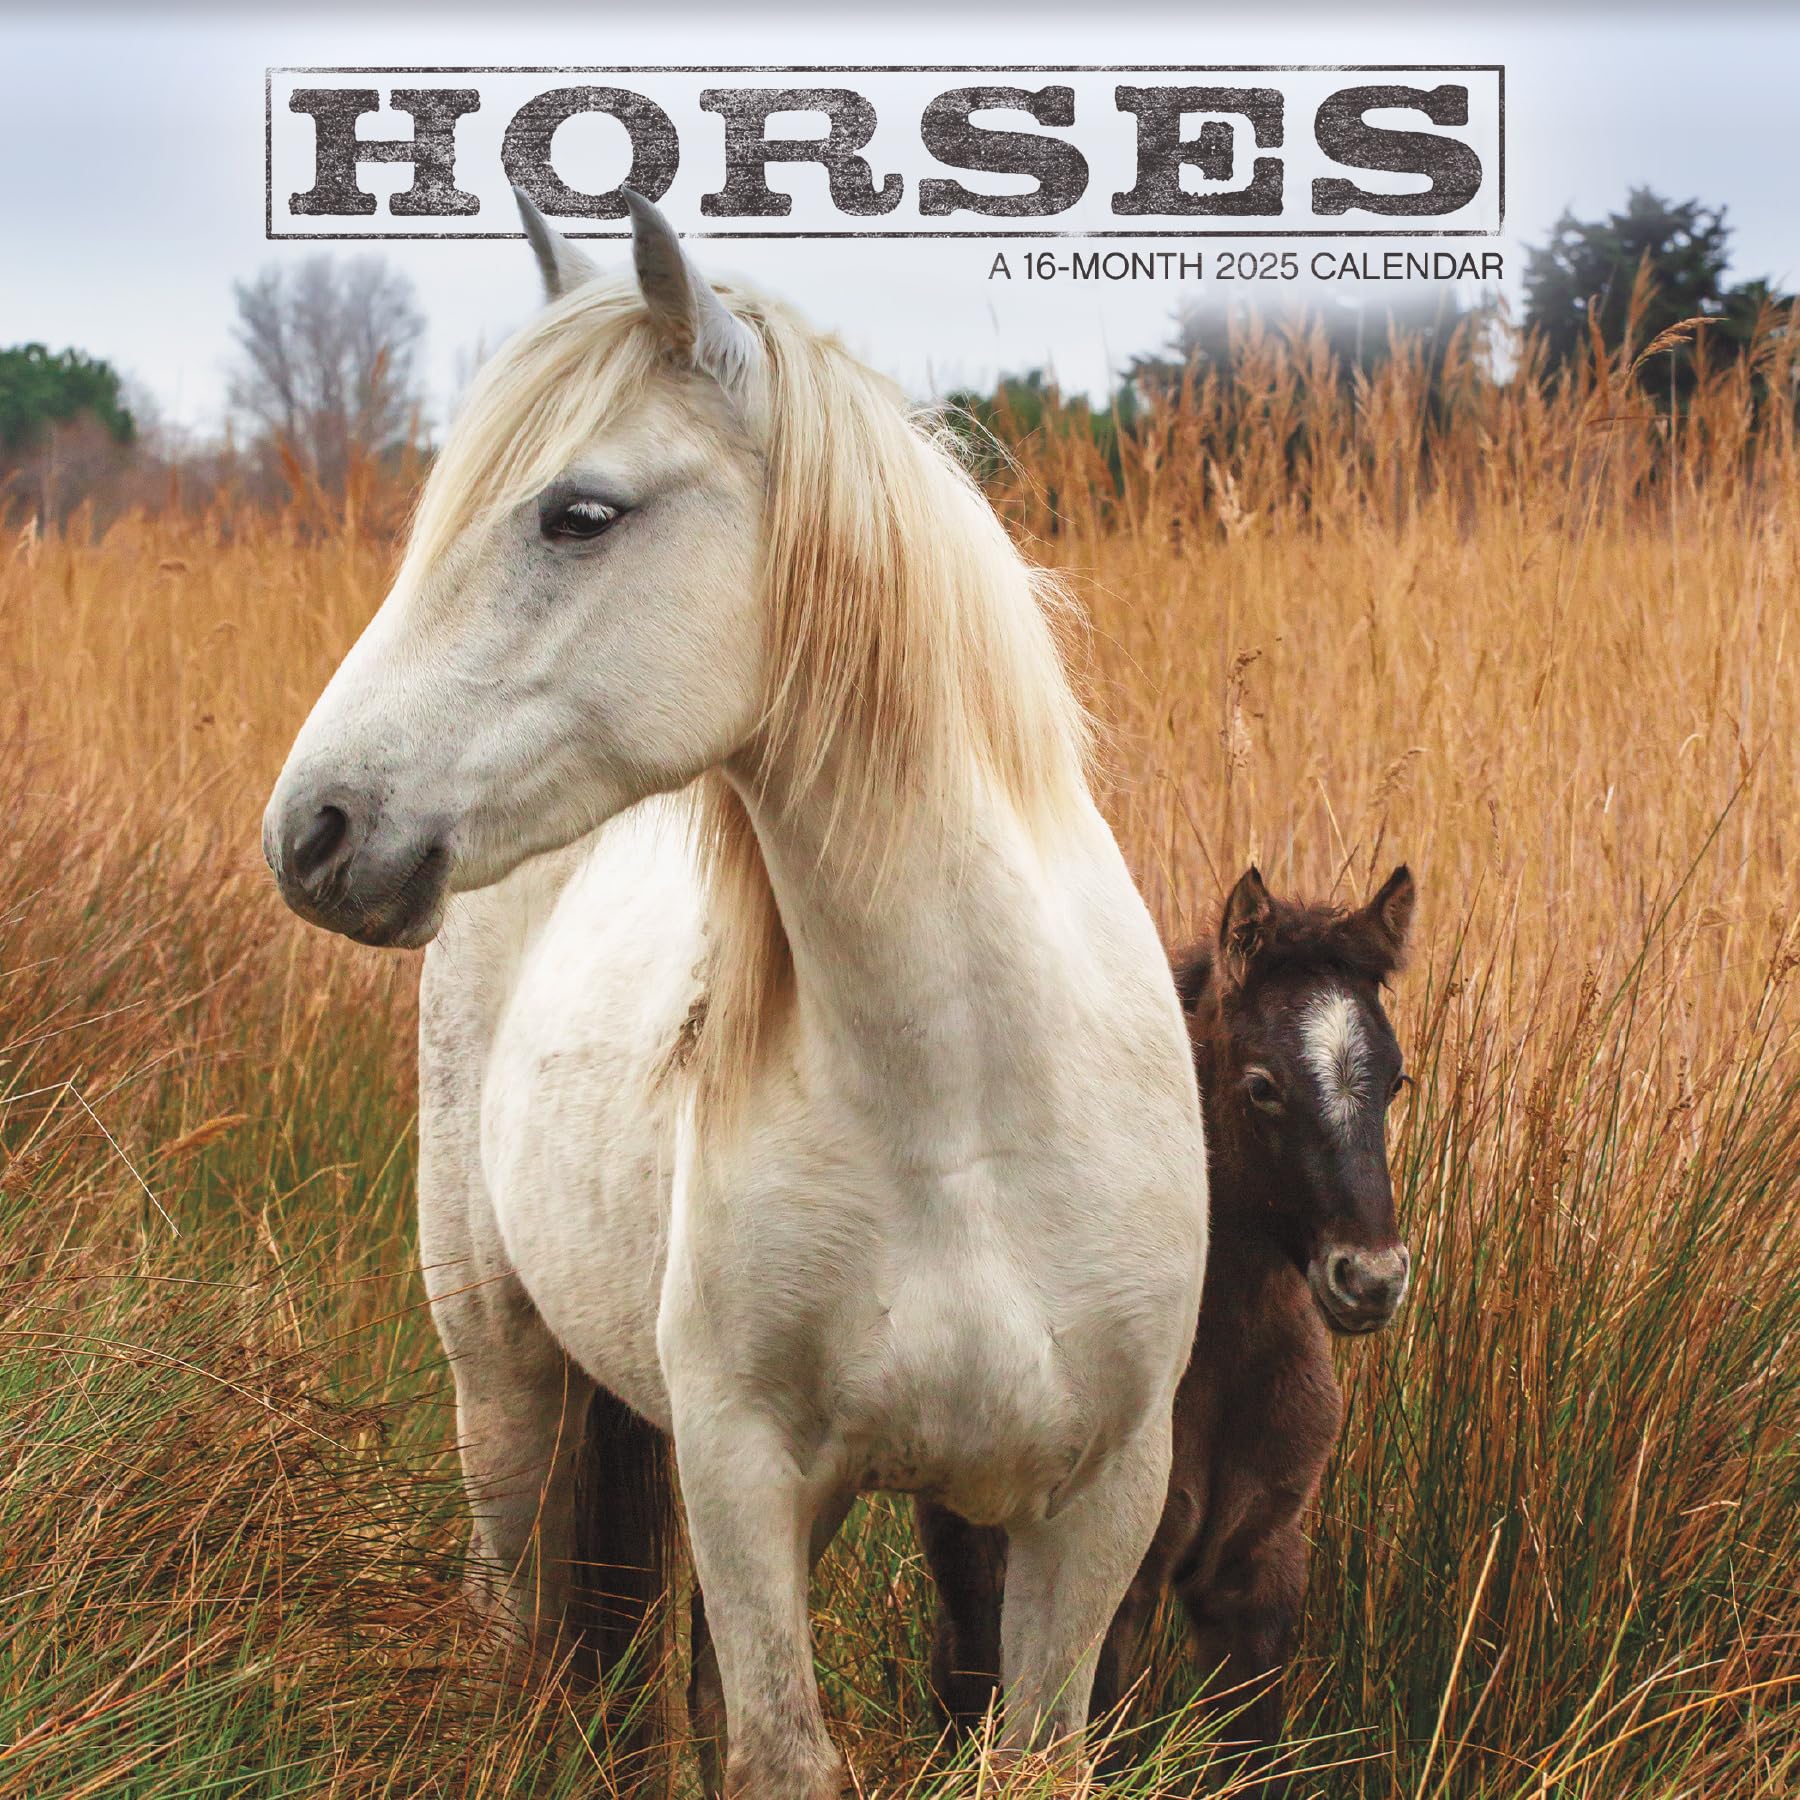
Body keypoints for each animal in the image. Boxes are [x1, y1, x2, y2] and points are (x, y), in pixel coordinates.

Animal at [262, 190, 1209, 1798]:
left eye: (579, 514)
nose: (313, 833)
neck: (967, 1112)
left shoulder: (1096, 1508)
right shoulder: (745, 1472)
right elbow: (778, 1753)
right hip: (501, 1369)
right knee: (515, 1604)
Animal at [911, 864, 1416, 1793]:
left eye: (1396, 1080)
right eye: (1262, 1085)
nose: (1370, 1279)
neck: (1222, 1363)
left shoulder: (1258, 1575)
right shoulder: (1122, 1587)